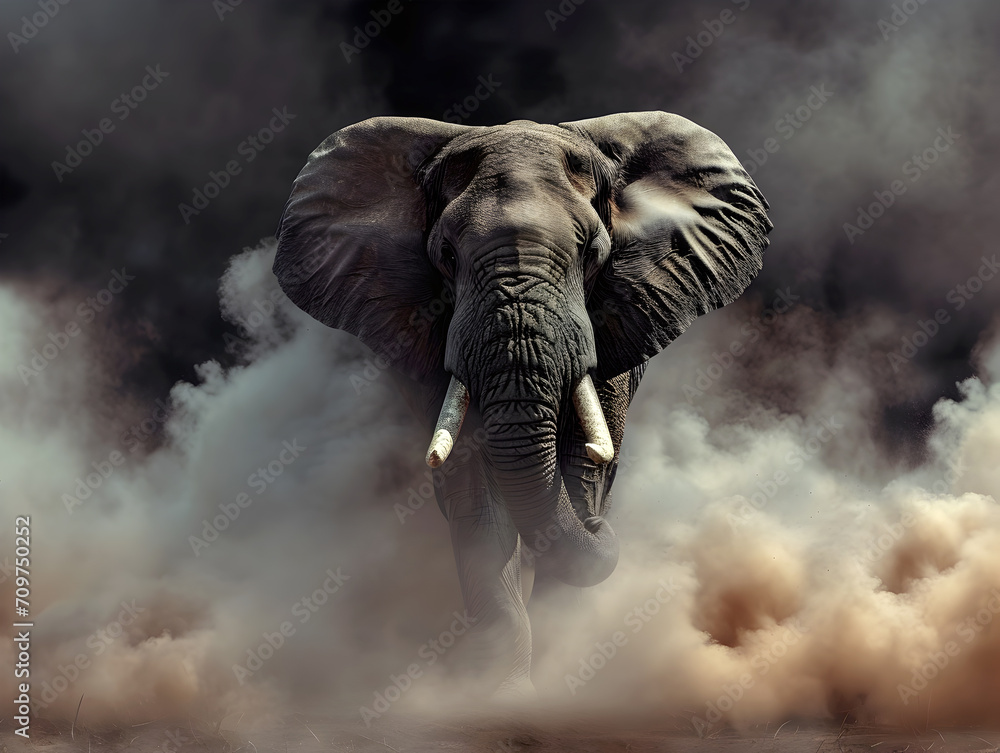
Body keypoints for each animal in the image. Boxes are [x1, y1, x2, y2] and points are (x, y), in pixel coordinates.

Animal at [272, 111, 772, 697]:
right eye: (446, 256)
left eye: (593, 254)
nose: (599, 521)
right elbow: (476, 495)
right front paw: (503, 695)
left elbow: (579, 460)